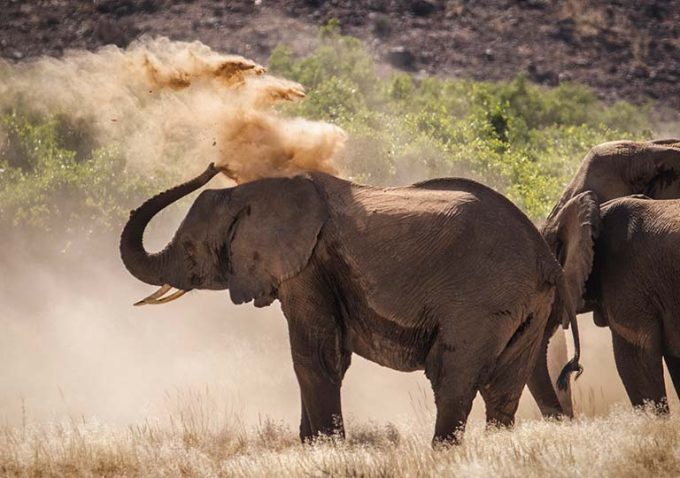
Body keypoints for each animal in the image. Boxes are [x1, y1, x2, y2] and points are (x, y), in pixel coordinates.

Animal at [119, 163, 580, 445]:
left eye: (190, 248)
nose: (214, 163)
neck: (257, 191)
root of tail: (546, 259)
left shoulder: (309, 266)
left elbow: (313, 356)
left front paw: (324, 447)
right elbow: (328, 358)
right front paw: (310, 445)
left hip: (483, 300)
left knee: (453, 378)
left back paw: (440, 453)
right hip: (529, 307)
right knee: (503, 389)